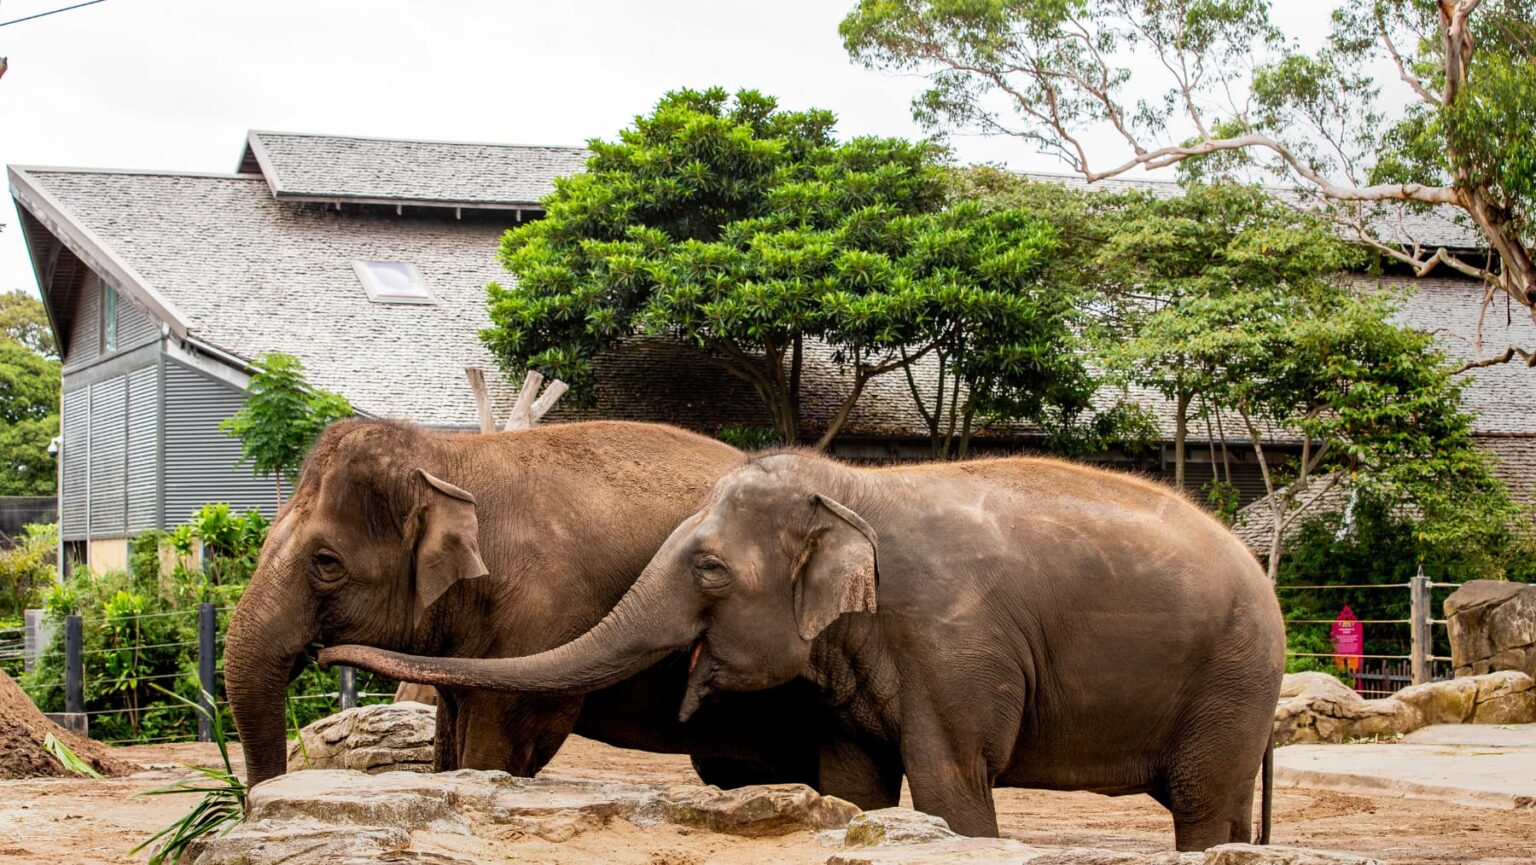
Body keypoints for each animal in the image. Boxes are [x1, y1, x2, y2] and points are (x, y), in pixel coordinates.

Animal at [224, 419, 824, 789]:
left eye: (325, 562)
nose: (325, 655)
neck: (452, 460)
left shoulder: (544, 616)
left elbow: (500, 744)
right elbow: (452, 737)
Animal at [323, 450, 1287, 851]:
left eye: (709, 567)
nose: (339, 654)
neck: (853, 486)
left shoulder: (954, 647)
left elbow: (952, 784)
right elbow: (855, 785)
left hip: (1235, 677)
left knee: (1201, 805)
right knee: (1223, 809)